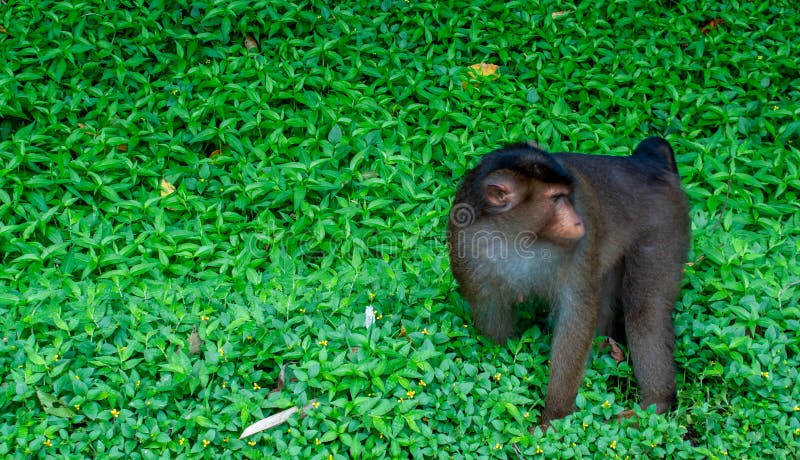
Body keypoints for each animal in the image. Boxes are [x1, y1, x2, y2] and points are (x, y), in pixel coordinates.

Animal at [447, 137, 690, 425]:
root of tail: (647, 163)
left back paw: (657, 402)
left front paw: (554, 417)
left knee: (645, 308)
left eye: (568, 195)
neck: (516, 237)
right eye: (556, 198)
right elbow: (490, 310)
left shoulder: (582, 244)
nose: (577, 220)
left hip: (664, 223)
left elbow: (576, 315)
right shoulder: (465, 241)